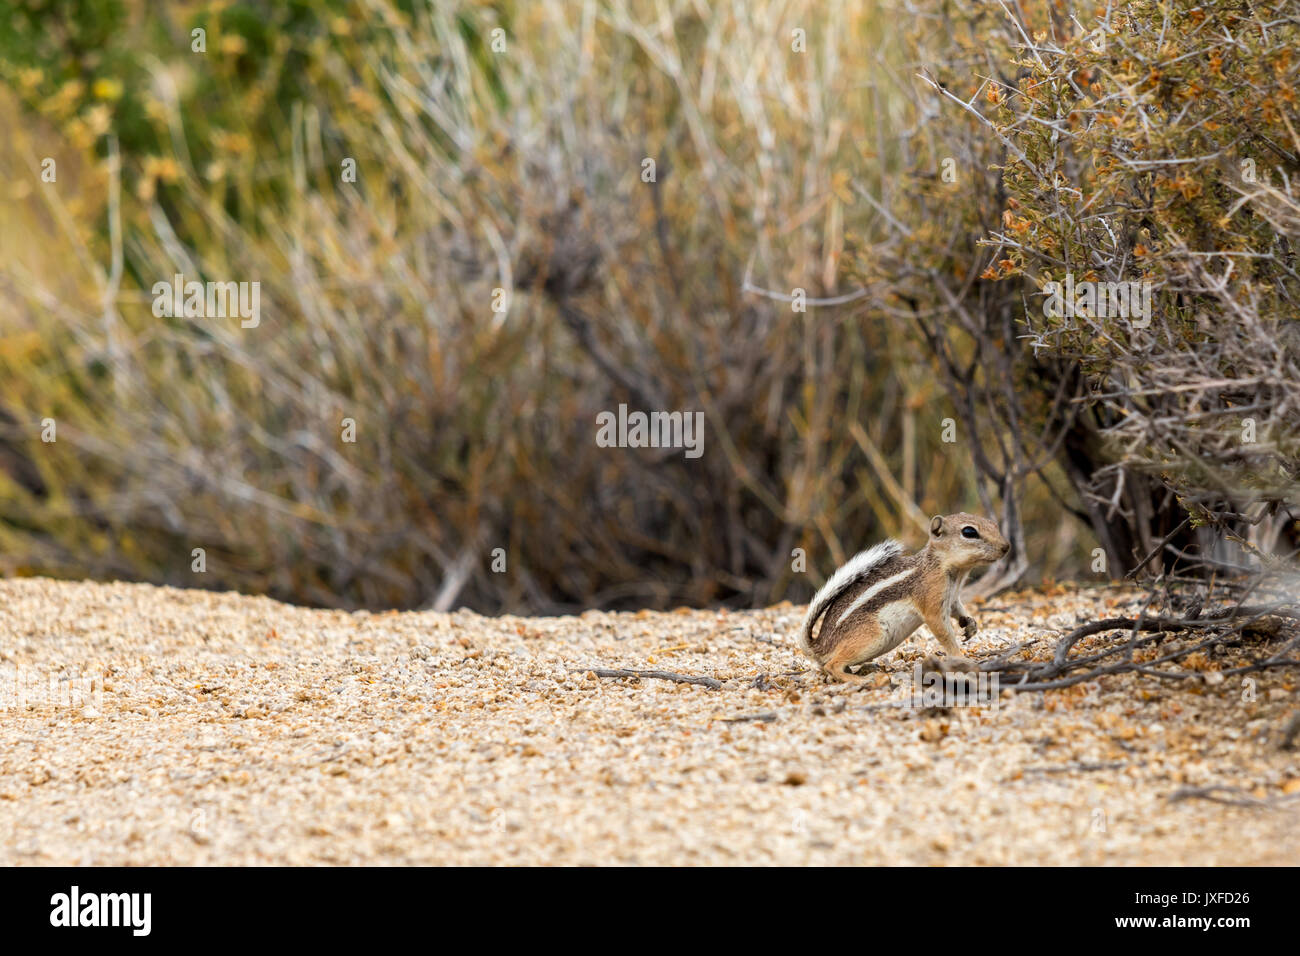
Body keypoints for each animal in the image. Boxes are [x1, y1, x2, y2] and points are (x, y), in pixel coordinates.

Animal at [798, 513, 1010, 683]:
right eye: (969, 532)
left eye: (994, 524)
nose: (1006, 547)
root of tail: (819, 645)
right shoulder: (932, 602)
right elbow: (944, 633)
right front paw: (961, 658)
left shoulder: (953, 598)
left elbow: (959, 610)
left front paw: (970, 625)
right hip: (872, 636)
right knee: (831, 666)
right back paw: (860, 680)